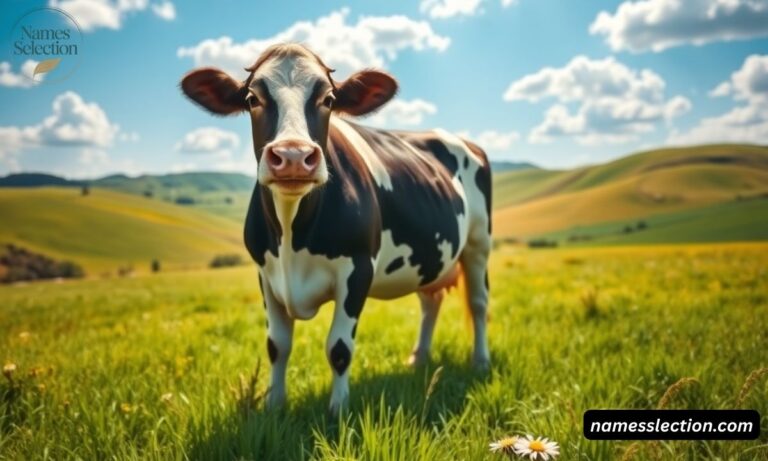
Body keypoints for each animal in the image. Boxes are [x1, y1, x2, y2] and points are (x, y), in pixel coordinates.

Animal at [180, 43, 492, 414]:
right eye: (252, 98)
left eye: (328, 99)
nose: (293, 156)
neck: (291, 239)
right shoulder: (265, 273)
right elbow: (277, 345)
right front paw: (273, 406)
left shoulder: (357, 269)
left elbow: (339, 348)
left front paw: (338, 410)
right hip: (430, 255)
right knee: (430, 301)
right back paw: (418, 359)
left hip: (479, 243)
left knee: (479, 302)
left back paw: (481, 361)